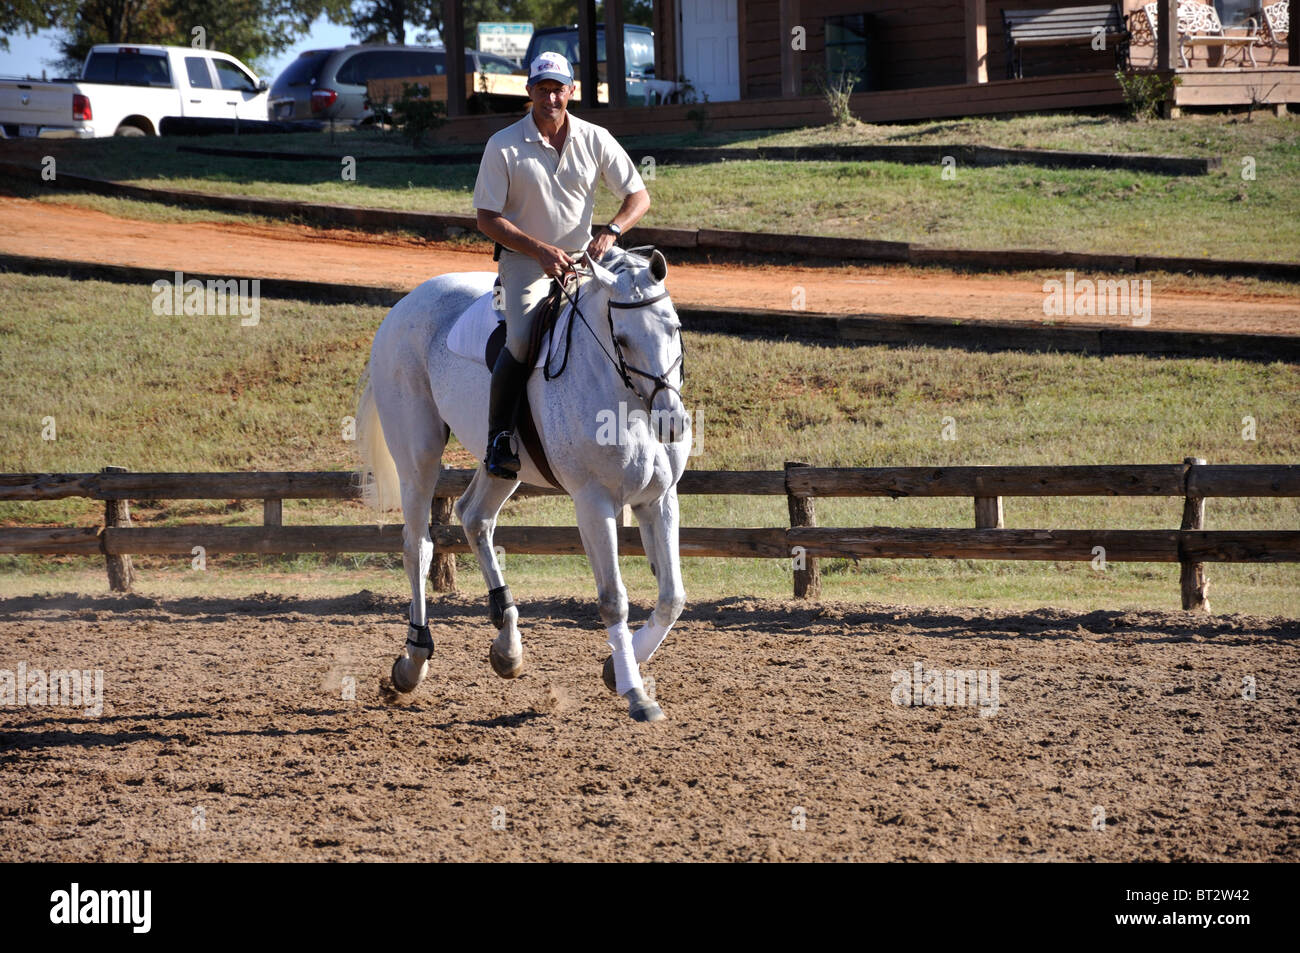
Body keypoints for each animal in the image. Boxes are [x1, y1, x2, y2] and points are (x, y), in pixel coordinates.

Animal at [354, 247, 690, 722]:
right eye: (621, 340)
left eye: (674, 327)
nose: (671, 422)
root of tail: (408, 301)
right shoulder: (594, 502)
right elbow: (612, 599)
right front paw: (635, 693)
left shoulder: (659, 499)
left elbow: (671, 596)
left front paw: (615, 670)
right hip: (418, 454)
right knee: (418, 545)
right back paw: (413, 659)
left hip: (501, 465)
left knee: (474, 517)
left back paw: (507, 645)